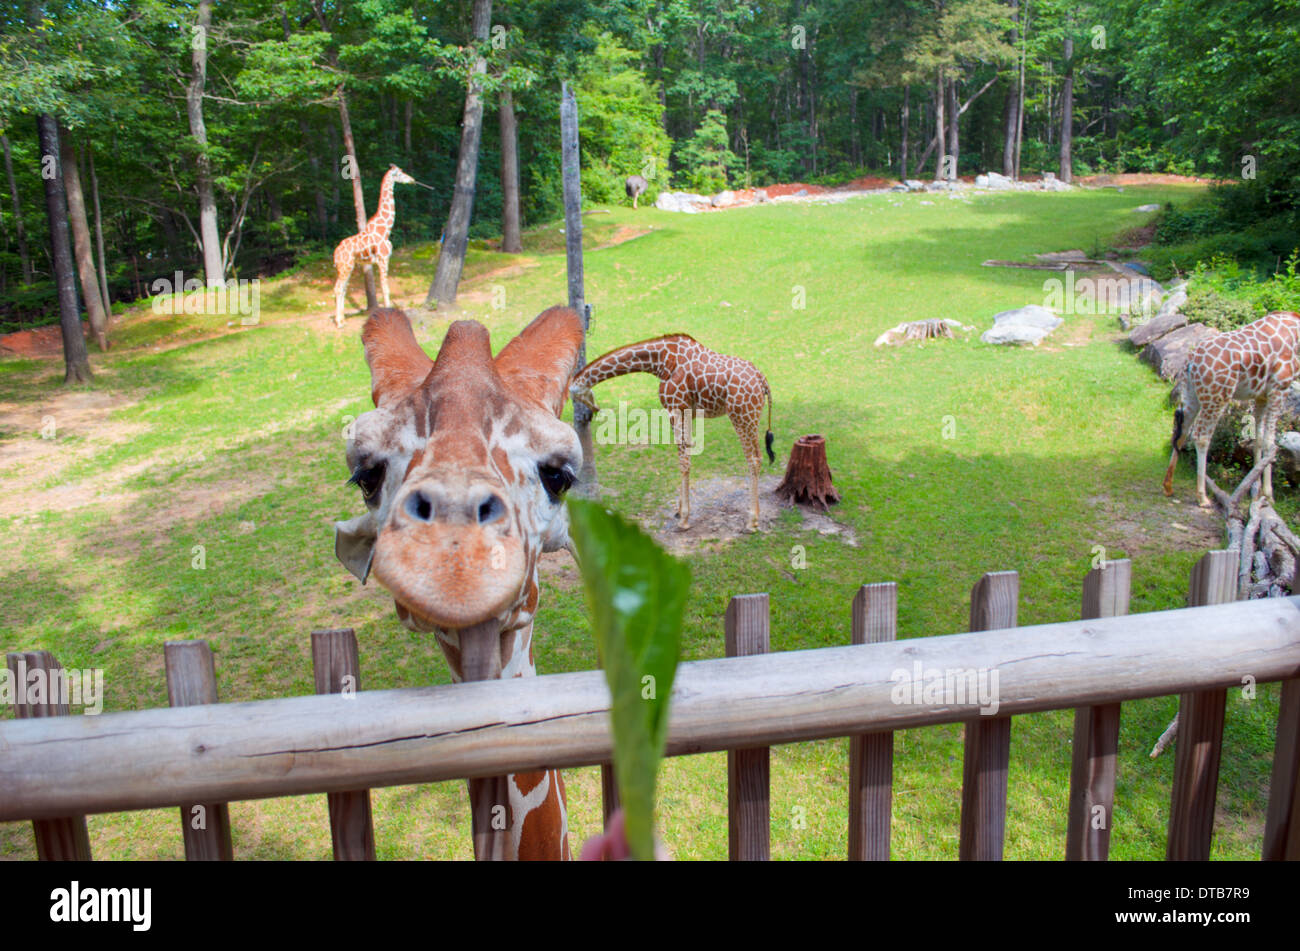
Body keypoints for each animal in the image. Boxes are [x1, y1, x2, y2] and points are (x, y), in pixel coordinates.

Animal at [332, 165, 417, 327]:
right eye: (400, 173)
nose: (412, 180)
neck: (385, 230)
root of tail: (336, 253)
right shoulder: (383, 259)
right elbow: (385, 288)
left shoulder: (381, 261)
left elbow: (383, 287)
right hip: (345, 267)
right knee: (338, 288)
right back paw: (339, 322)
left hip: (347, 267)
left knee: (343, 289)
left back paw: (342, 319)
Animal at [569, 334, 775, 531]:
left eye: (575, 395)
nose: (594, 410)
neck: (660, 362)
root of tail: (762, 380)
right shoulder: (687, 412)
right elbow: (687, 454)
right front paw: (679, 511)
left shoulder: (676, 408)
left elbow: (683, 461)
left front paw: (683, 519)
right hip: (752, 417)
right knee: (759, 457)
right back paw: (755, 520)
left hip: (741, 416)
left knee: (753, 459)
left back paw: (751, 522)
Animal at [1163, 311, 1300, 507]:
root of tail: (1191, 362)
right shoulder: (1279, 388)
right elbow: (1270, 441)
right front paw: (1268, 494)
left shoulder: (1261, 395)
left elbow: (1257, 439)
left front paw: (1255, 488)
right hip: (1217, 397)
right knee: (1201, 436)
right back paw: (1202, 497)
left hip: (1190, 394)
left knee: (1180, 432)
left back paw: (1168, 486)